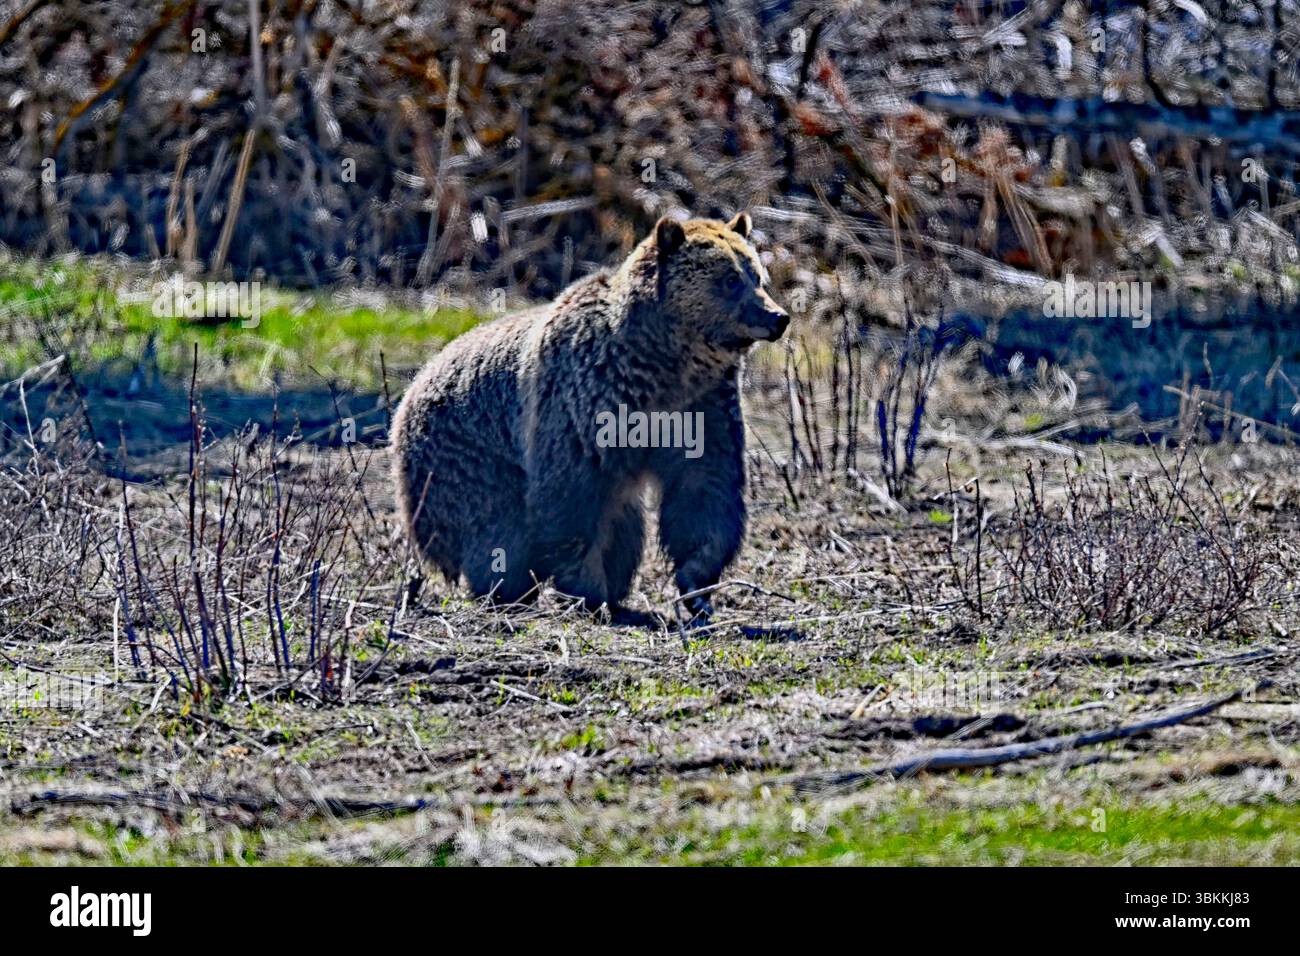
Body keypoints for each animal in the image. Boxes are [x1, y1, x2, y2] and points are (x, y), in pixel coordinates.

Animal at [390, 212, 788, 620]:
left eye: (756, 275)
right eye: (730, 279)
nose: (778, 317)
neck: (661, 364)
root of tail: (413, 386)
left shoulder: (701, 406)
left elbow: (705, 489)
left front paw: (696, 584)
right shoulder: (583, 400)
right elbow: (571, 496)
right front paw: (588, 590)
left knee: (625, 527)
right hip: (464, 460)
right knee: (497, 531)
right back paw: (509, 591)